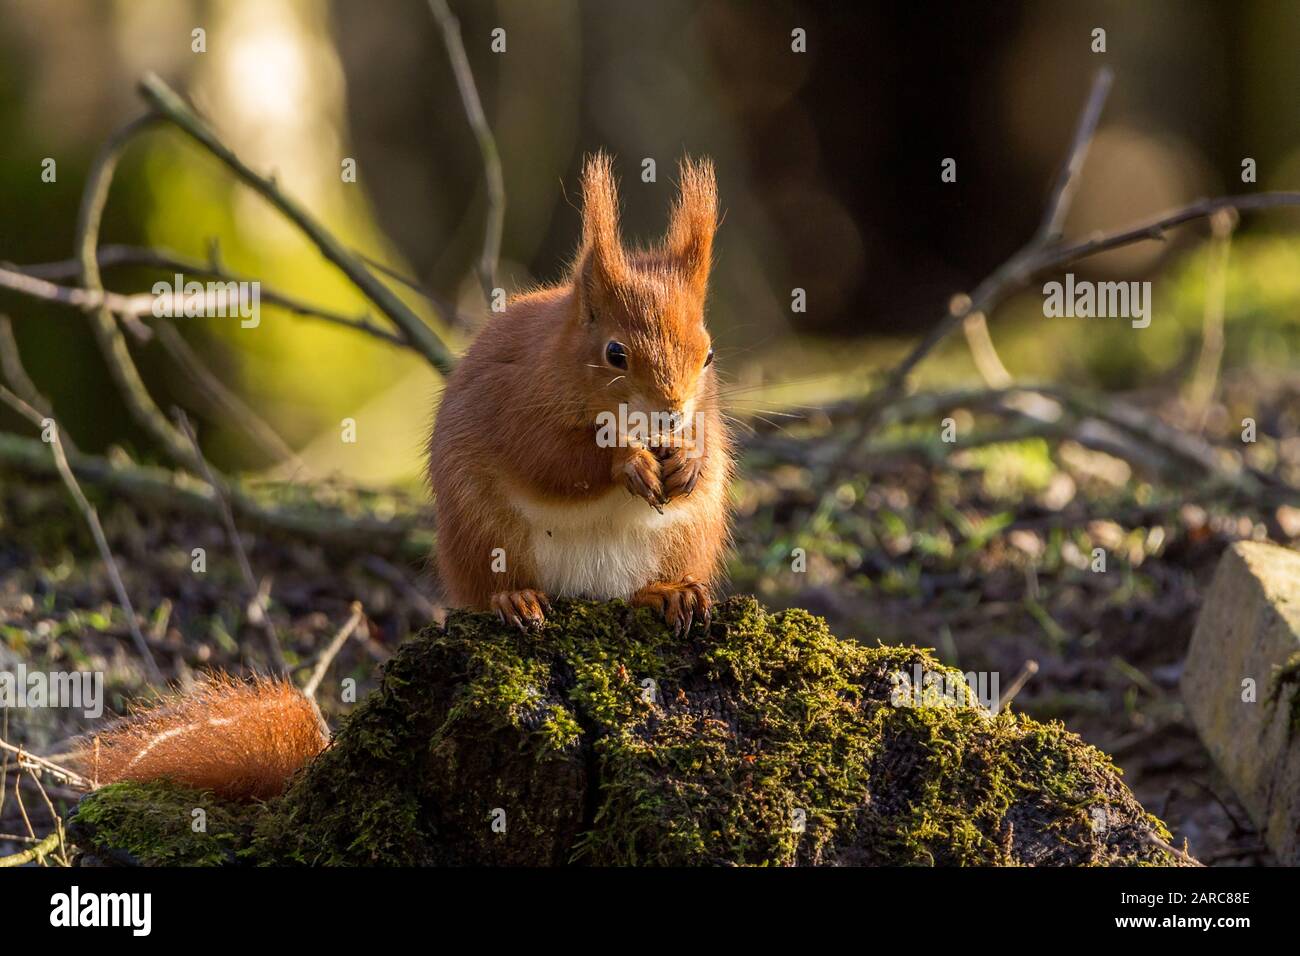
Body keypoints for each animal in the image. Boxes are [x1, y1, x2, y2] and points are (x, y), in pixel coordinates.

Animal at [428, 152, 732, 633]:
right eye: (615, 353)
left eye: (709, 355)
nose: (671, 413)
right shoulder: (516, 401)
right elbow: (552, 458)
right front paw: (628, 461)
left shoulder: (708, 418)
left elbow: (709, 447)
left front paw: (689, 459)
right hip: (482, 530)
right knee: (491, 585)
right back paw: (514, 599)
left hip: (686, 538)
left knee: (642, 588)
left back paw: (669, 592)